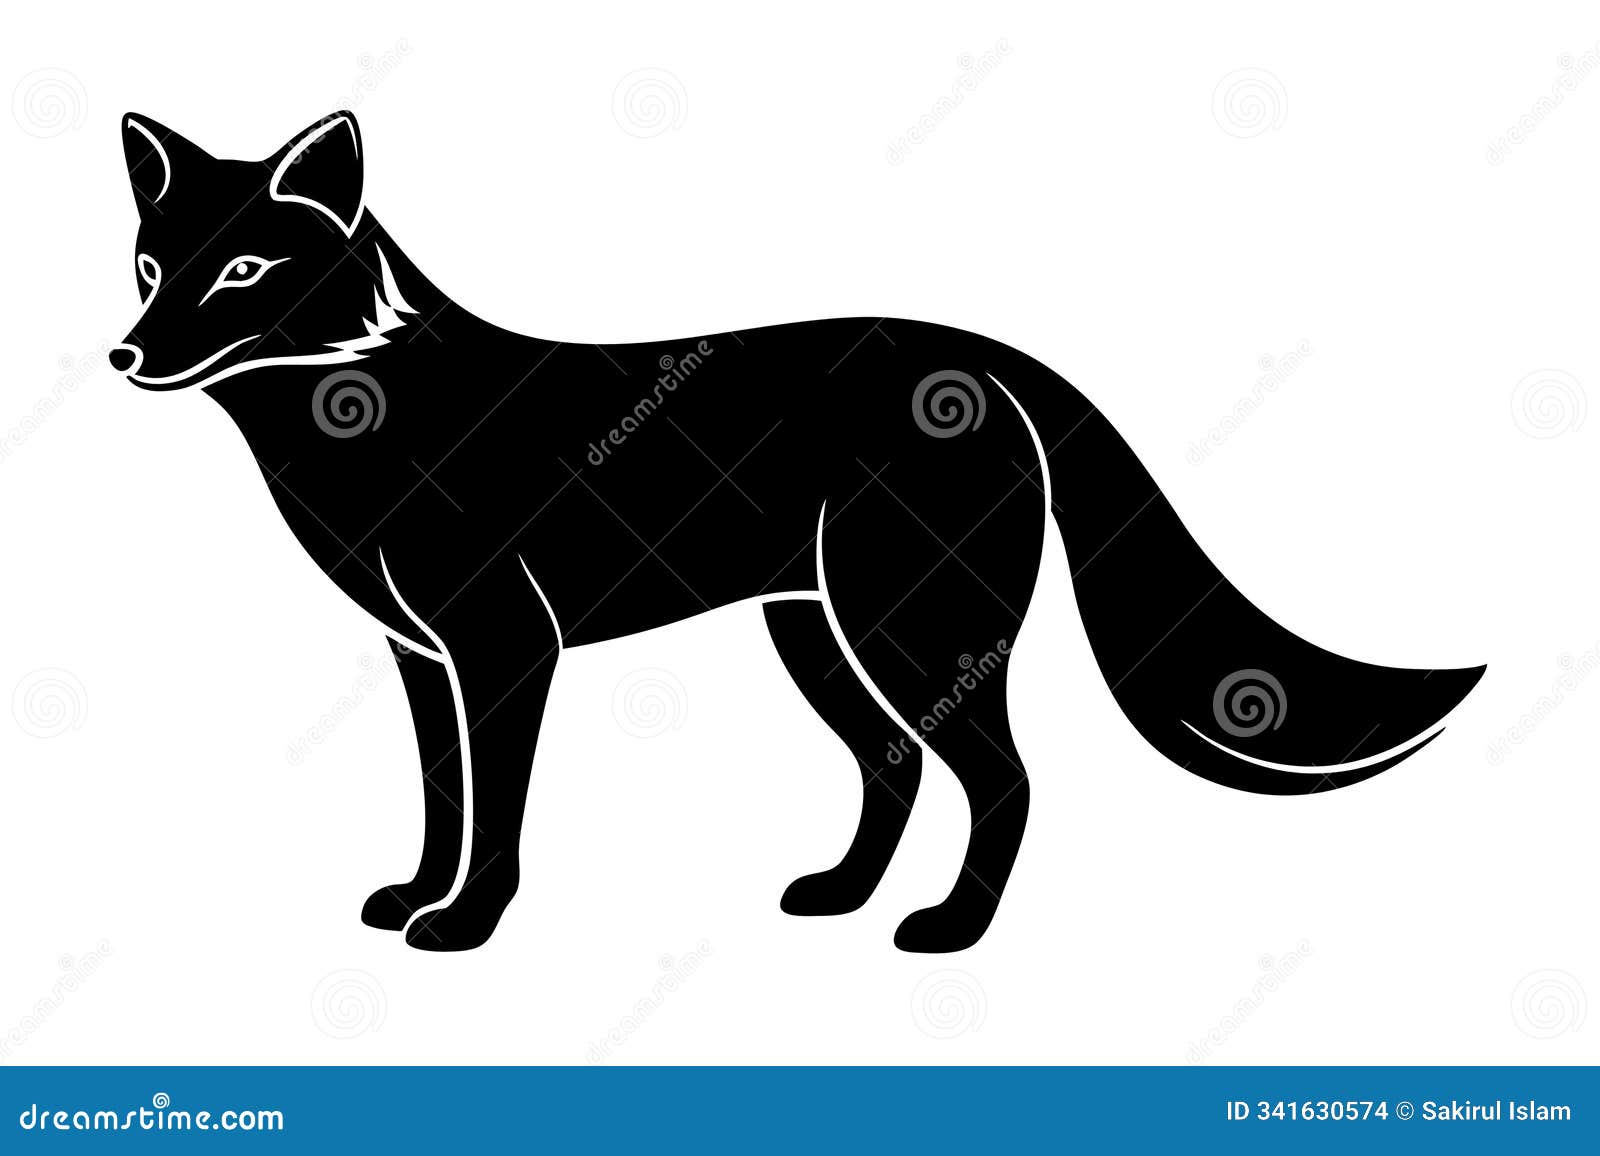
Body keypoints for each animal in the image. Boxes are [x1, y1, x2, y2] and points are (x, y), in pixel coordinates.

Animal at [111, 110, 1484, 952]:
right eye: (150, 265)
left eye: (245, 272)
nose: (125, 354)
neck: (360, 407)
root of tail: (987, 361)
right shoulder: (418, 653)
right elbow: (439, 792)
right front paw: (410, 894)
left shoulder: (504, 646)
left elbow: (495, 807)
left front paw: (464, 924)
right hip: (818, 629)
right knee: (894, 765)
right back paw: (838, 898)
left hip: (909, 624)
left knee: (1002, 775)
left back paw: (949, 931)